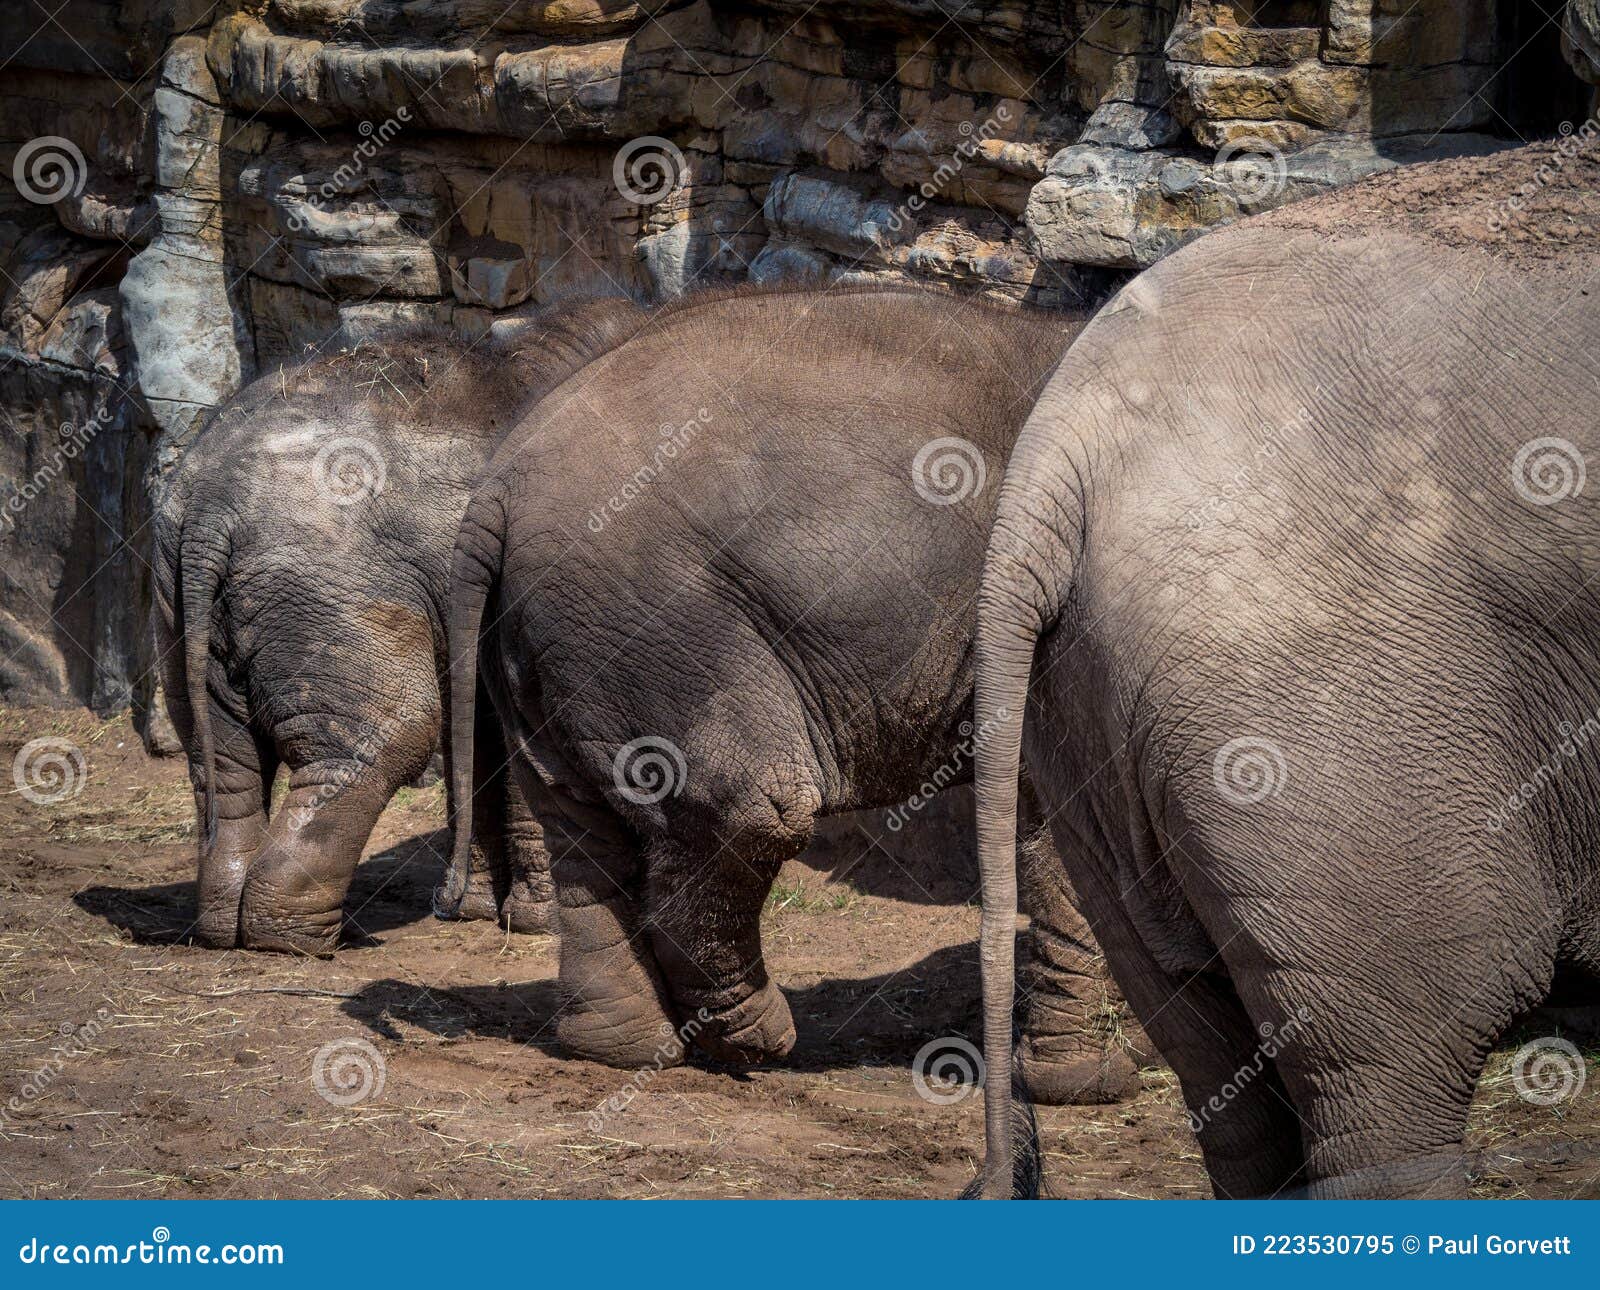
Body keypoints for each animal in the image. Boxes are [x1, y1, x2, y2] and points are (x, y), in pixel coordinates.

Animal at [152, 296, 645, 952]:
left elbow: (481, 728)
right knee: (383, 738)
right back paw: (298, 936)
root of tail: (212, 510)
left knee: (224, 759)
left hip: (175, 601)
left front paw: (479, 911)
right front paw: (542, 925)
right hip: (331, 593)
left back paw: (225, 926)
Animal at [445, 283, 1153, 1103]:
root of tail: (497, 490)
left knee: (582, 826)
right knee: (747, 810)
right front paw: (1092, 1082)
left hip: (547, 642)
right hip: (658, 630)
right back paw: (752, 1037)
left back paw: (625, 1047)